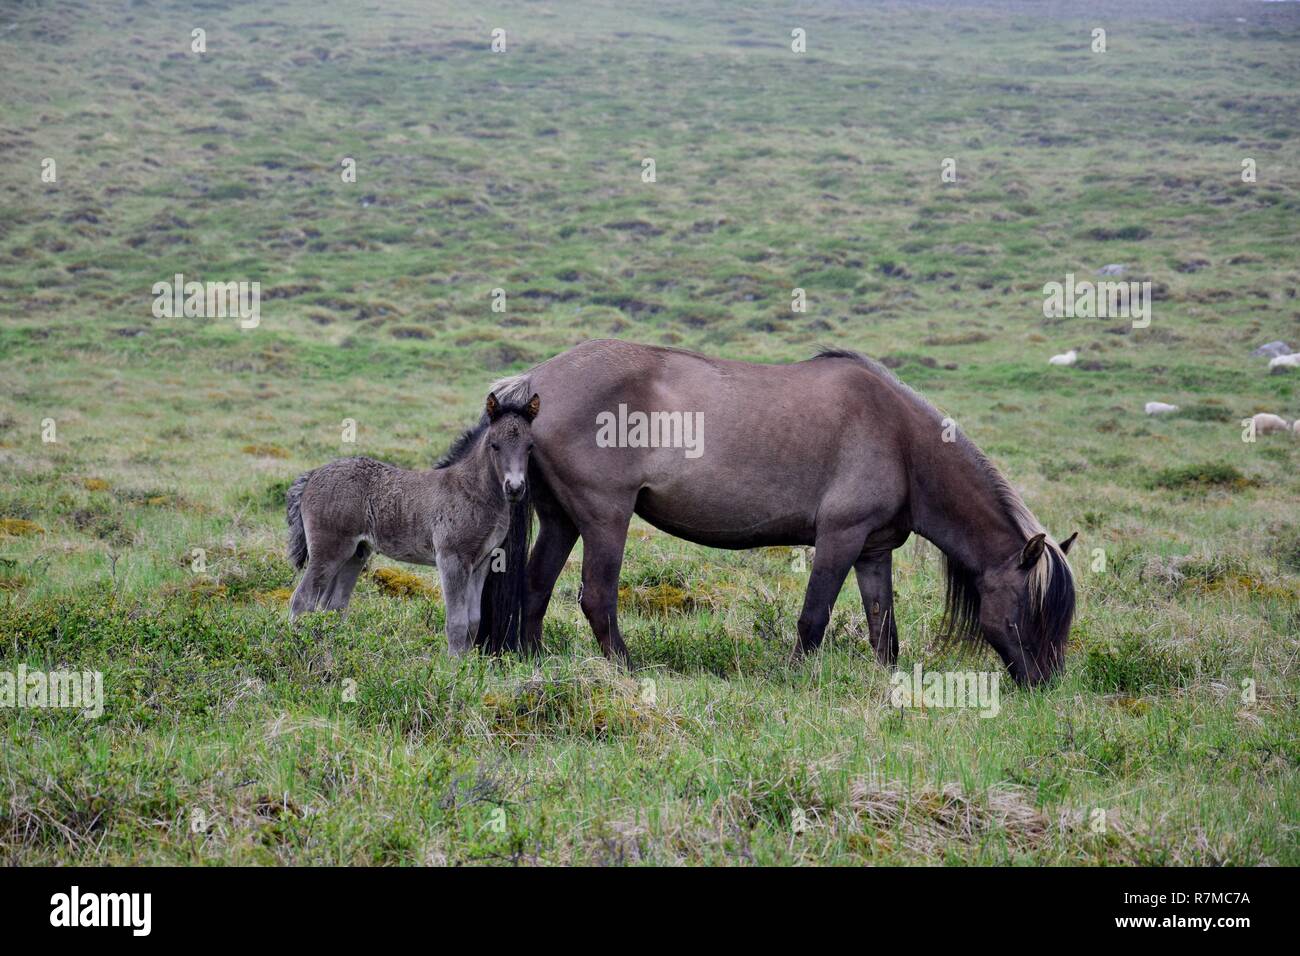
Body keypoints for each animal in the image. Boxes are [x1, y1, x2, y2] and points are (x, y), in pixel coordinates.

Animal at [286, 391, 539, 654]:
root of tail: (312, 474)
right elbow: (457, 622)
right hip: (329, 550)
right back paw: (297, 644)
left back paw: (333, 646)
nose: (515, 488)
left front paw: (466, 662)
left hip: (355, 553)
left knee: (333, 605)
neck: (472, 490)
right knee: (302, 599)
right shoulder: (452, 558)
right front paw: (453, 664)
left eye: (530, 446)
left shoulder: (482, 561)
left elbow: (473, 622)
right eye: (494, 445)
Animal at [482, 340, 1078, 685]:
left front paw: (888, 684)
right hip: (606, 518)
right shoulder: (839, 538)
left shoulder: (873, 550)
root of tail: (534, 385)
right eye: (1030, 611)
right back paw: (628, 670)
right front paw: (794, 680)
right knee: (597, 598)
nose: (1045, 683)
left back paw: (532, 664)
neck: (901, 441)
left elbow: (883, 628)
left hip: (562, 520)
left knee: (535, 586)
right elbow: (814, 618)